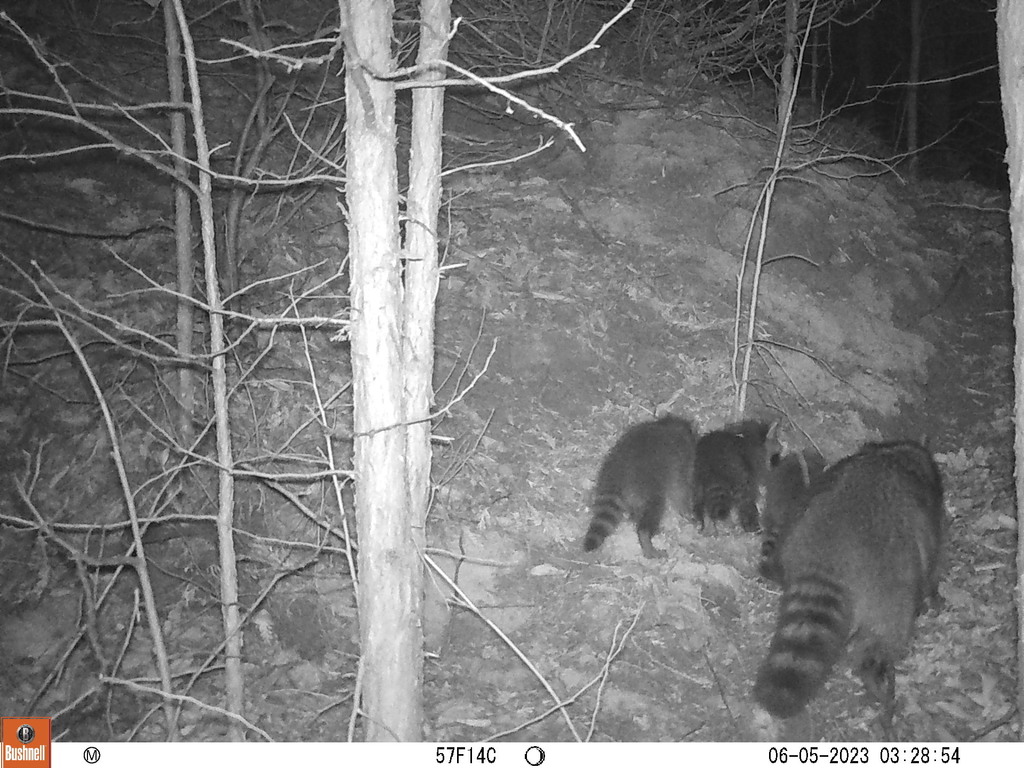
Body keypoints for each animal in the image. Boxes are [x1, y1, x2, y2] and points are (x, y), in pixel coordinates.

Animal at [582, 414, 697, 559]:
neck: (668, 425)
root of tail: (617, 473)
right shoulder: (681, 466)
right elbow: (680, 494)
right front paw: (688, 513)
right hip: (648, 487)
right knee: (652, 511)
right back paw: (646, 538)